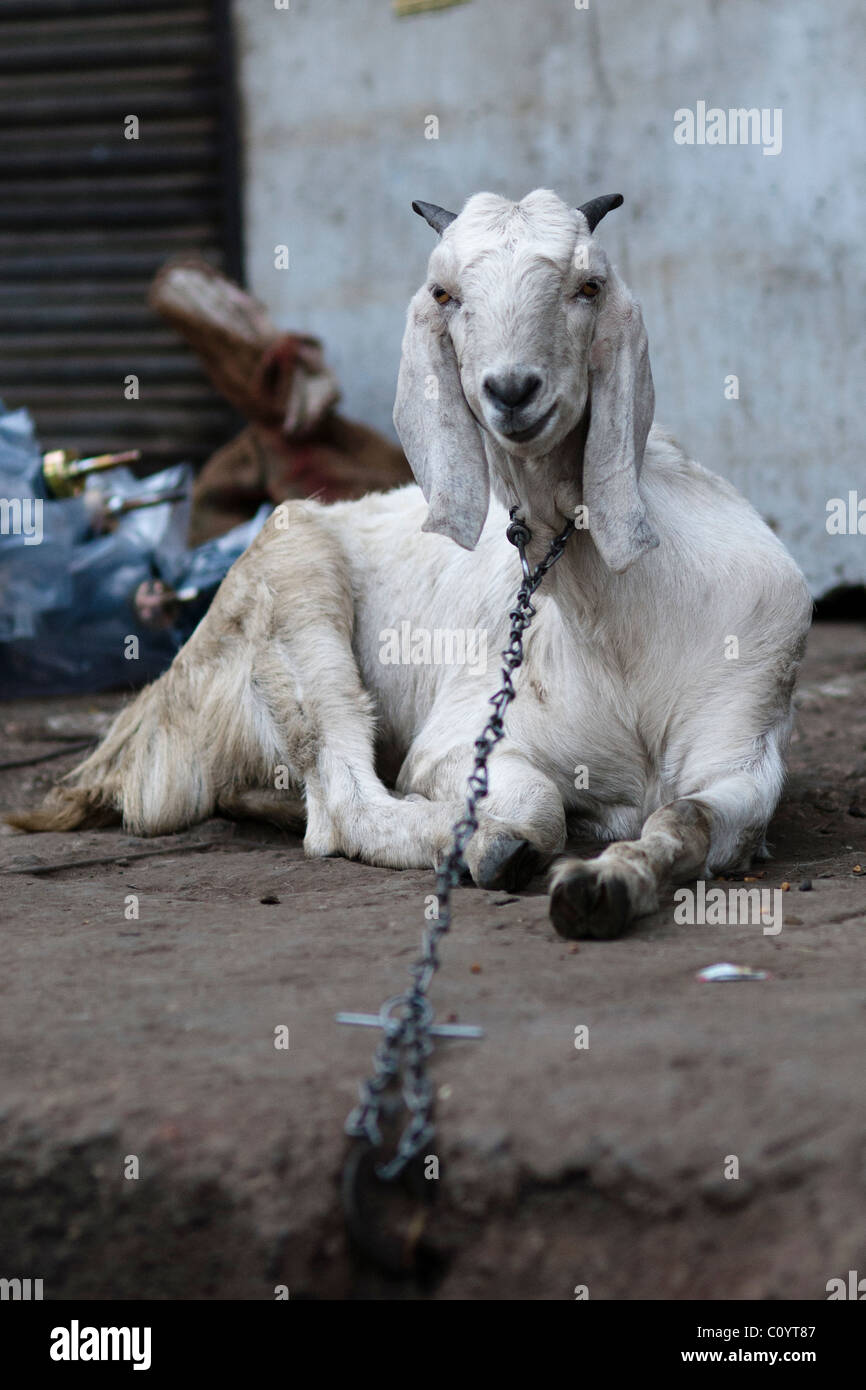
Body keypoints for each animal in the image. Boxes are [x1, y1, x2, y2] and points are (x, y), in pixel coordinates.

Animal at [8, 189, 812, 940]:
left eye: (588, 286)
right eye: (445, 293)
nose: (512, 390)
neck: (614, 623)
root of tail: (156, 704)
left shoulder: (742, 750)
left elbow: (686, 818)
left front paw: (603, 885)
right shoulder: (463, 741)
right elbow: (536, 804)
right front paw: (510, 844)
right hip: (294, 581)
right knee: (342, 804)